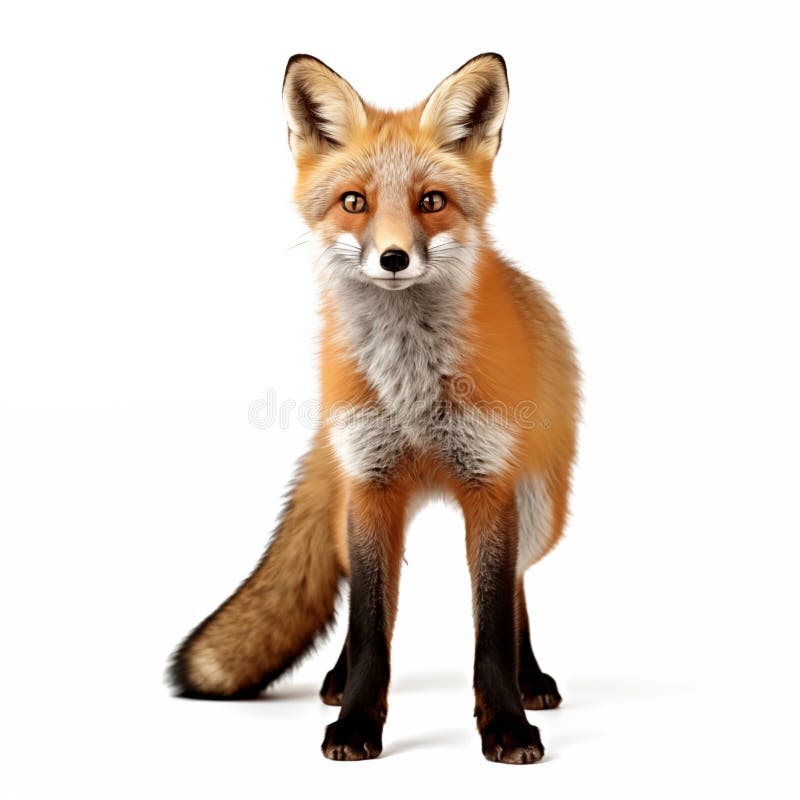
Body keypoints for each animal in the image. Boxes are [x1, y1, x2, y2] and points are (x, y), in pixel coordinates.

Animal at [169, 52, 580, 764]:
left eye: (431, 201)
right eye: (354, 202)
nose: (393, 258)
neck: (411, 387)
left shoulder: (488, 483)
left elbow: (492, 625)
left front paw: (505, 723)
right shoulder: (370, 482)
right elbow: (368, 621)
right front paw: (358, 721)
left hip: (536, 511)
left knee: (518, 590)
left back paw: (531, 680)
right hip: (353, 511)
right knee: (372, 611)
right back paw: (336, 680)